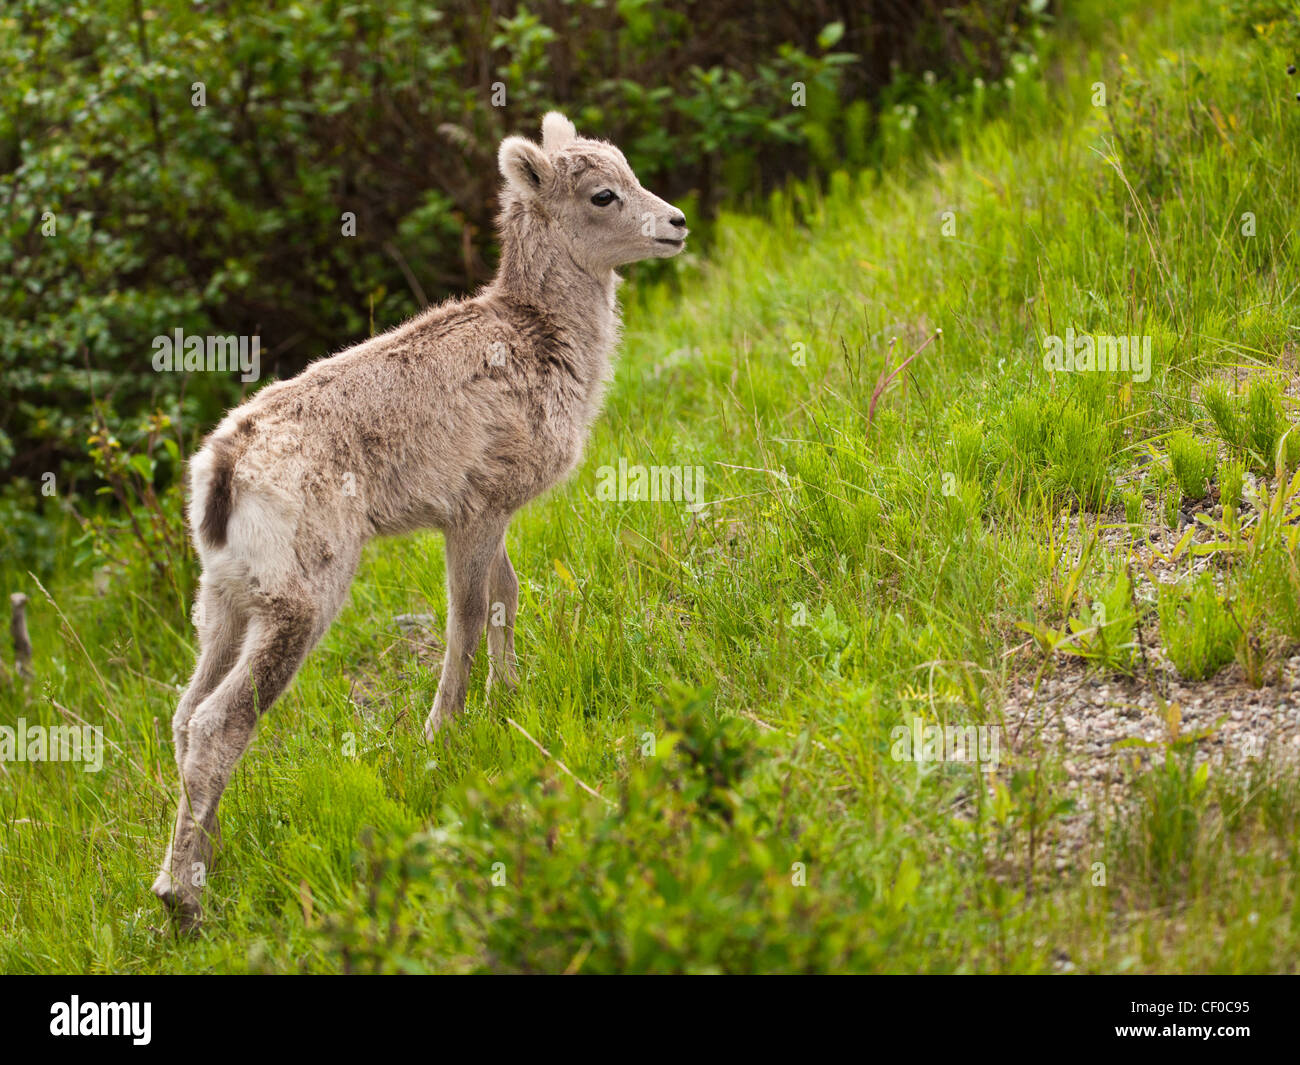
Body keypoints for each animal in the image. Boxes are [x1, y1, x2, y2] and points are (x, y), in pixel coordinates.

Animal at [152, 112, 688, 928]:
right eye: (603, 194)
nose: (676, 224)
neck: (541, 340)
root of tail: (225, 465)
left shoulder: (493, 515)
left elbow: (505, 597)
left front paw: (507, 701)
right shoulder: (473, 509)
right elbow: (465, 615)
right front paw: (444, 732)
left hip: (224, 600)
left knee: (185, 715)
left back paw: (198, 868)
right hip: (300, 599)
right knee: (219, 722)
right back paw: (182, 903)